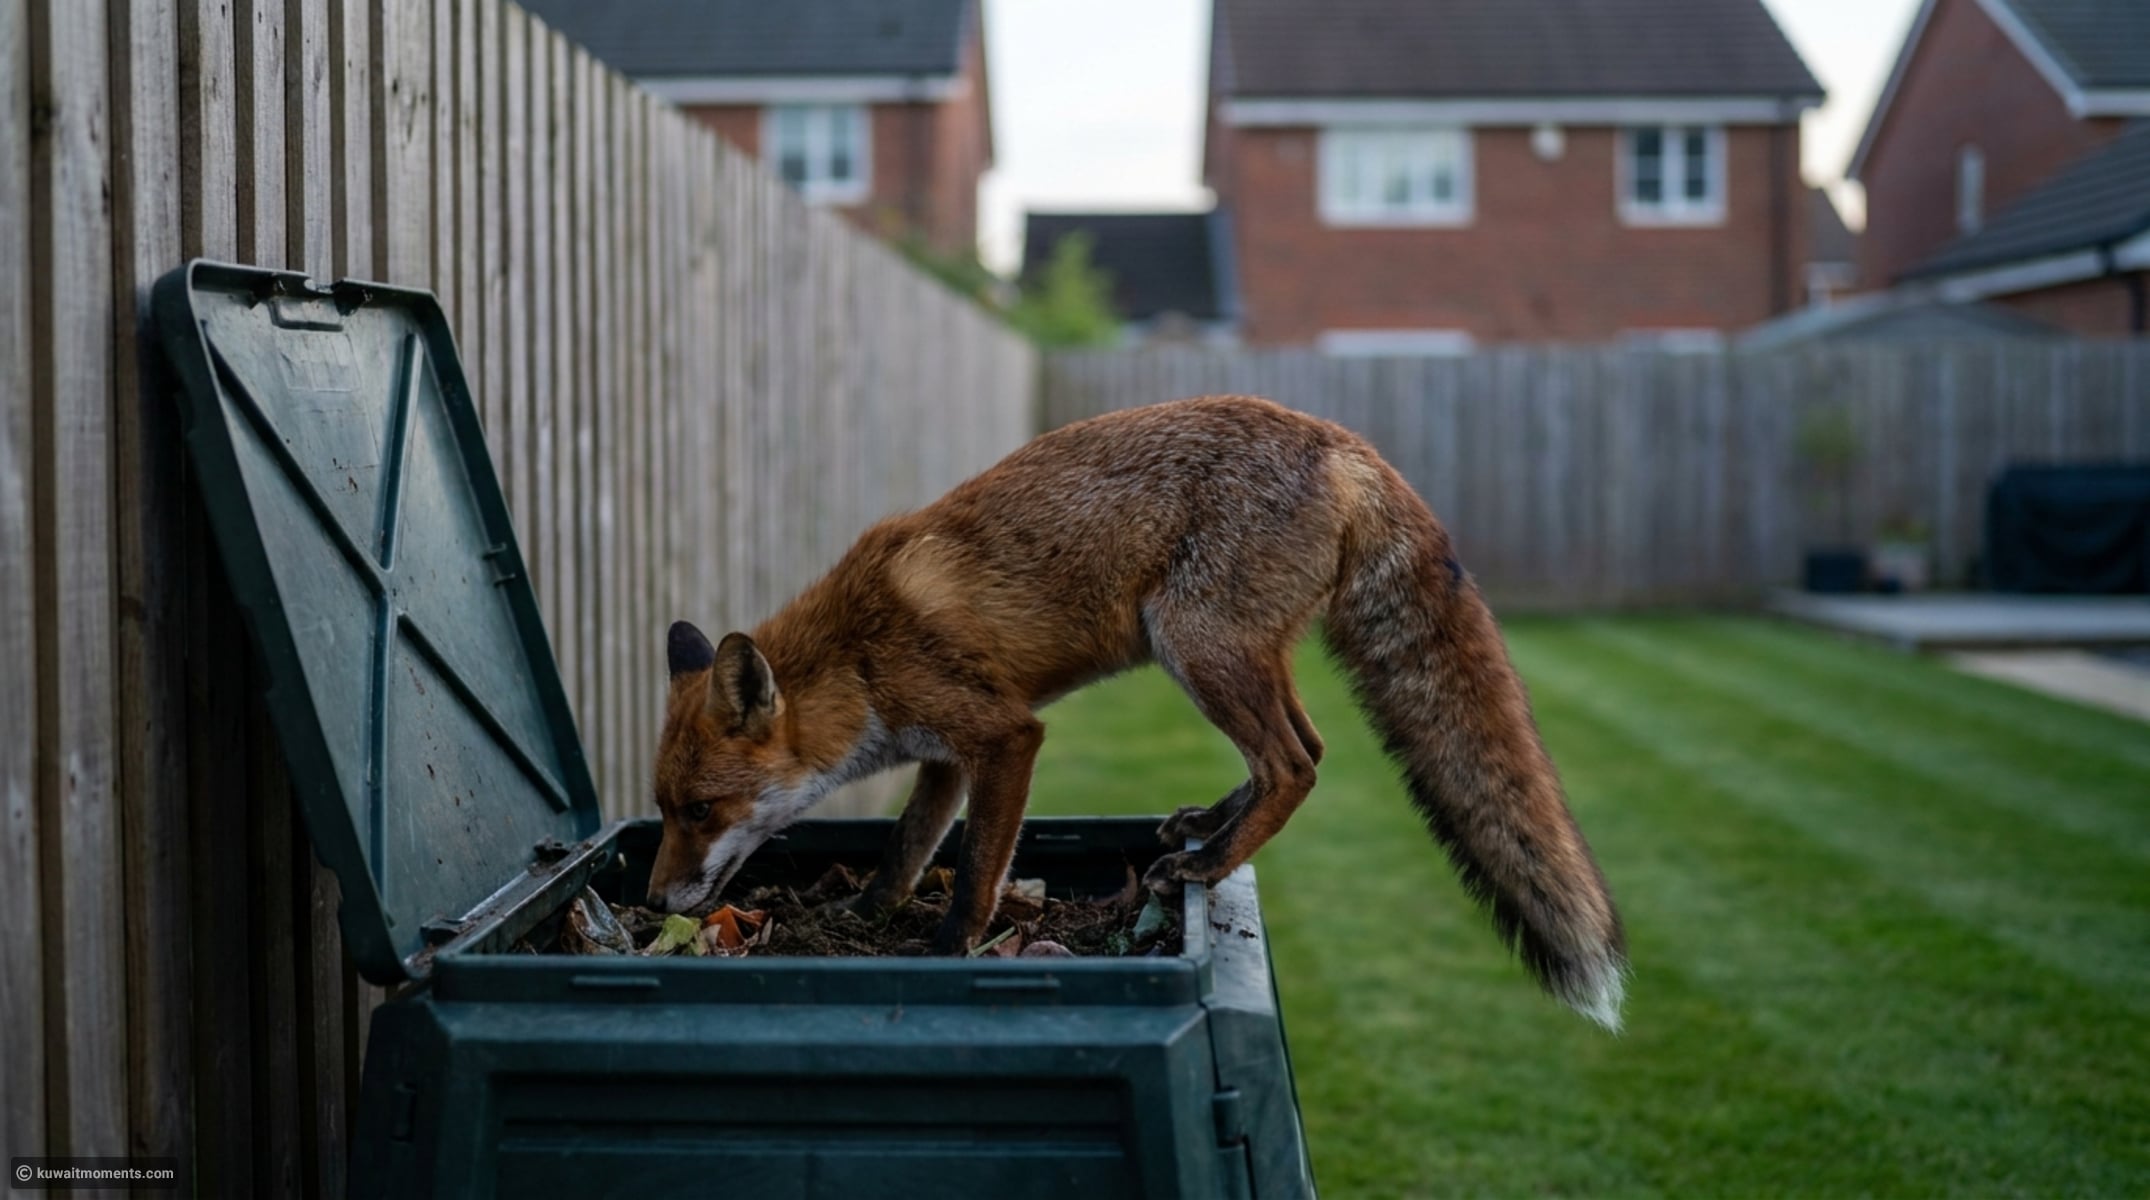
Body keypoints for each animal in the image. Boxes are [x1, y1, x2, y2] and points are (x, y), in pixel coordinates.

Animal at [651, 395, 1626, 1029]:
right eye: (662, 810)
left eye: (700, 810)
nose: (655, 897)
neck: (856, 655)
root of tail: (1342, 438)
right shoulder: (945, 752)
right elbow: (907, 846)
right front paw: (866, 914)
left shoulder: (1004, 734)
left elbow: (975, 869)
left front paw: (946, 950)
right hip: (1235, 654)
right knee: (1308, 747)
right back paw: (1209, 828)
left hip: (1191, 641)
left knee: (1294, 764)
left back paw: (1207, 863)